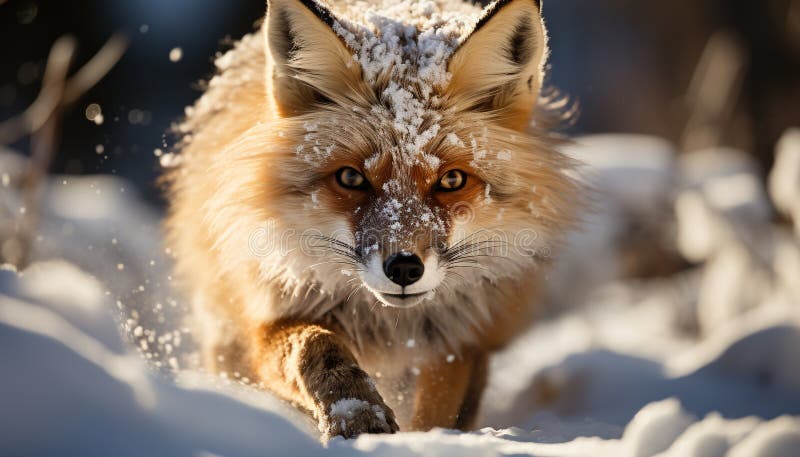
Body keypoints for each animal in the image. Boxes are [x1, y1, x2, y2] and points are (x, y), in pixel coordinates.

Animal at [165, 0, 579, 440]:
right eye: (351, 178)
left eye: (452, 180)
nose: (404, 268)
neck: (388, 326)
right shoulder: (269, 317)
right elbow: (315, 346)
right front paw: (357, 413)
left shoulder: (461, 335)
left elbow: (440, 405)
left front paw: (426, 440)